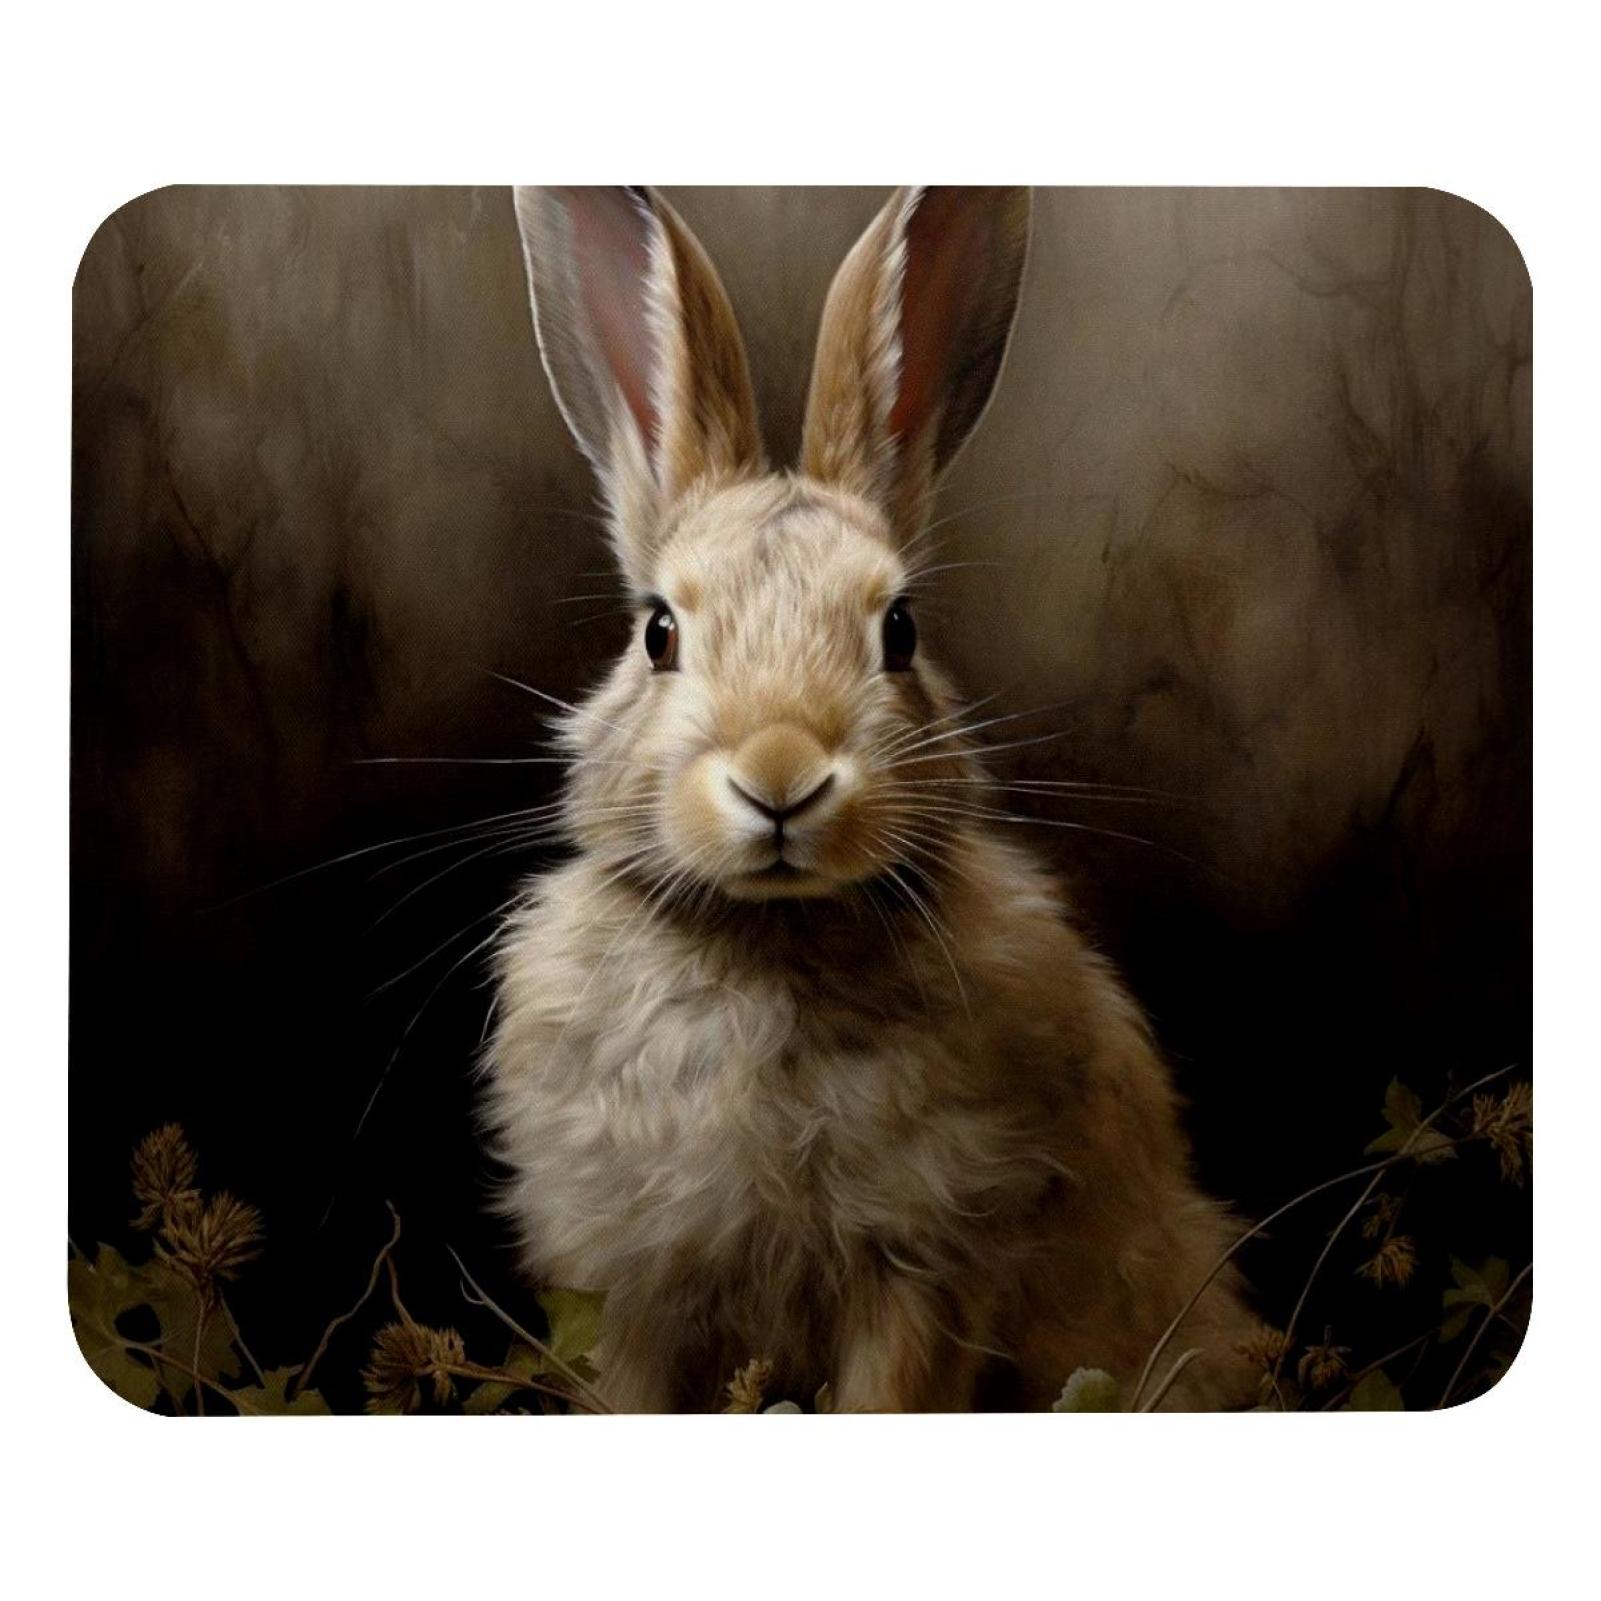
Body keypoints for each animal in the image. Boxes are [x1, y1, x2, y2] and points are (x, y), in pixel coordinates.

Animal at [483, 185, 1257, 1412]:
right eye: (658, 633)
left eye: (898, 630)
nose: (780, 776)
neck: (771, 937)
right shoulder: (630, 1280)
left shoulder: (925, 1260)